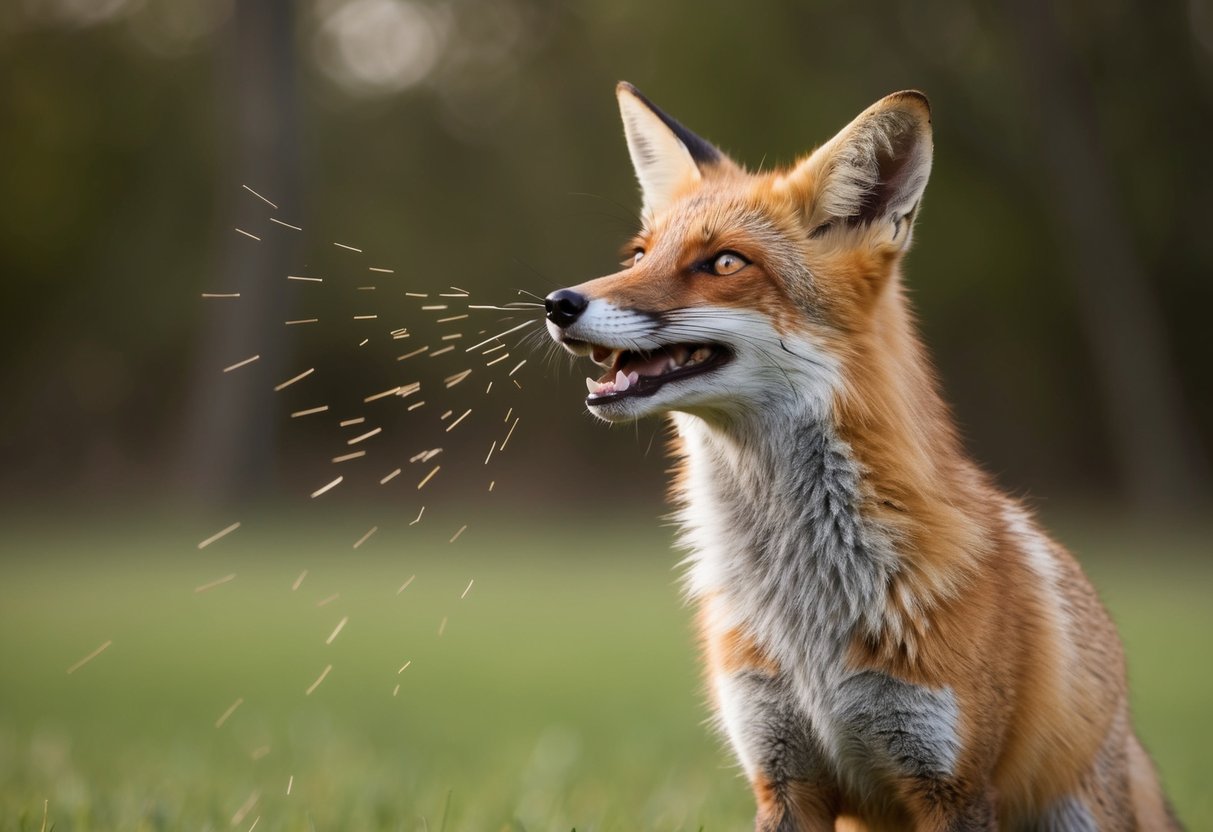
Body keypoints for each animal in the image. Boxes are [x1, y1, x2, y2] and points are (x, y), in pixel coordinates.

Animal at [542, 82, 1182, 831]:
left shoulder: (950, 781)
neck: (804, 607)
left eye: (724, 262)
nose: (558, 302)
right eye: (639, 254)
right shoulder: (783, 774)